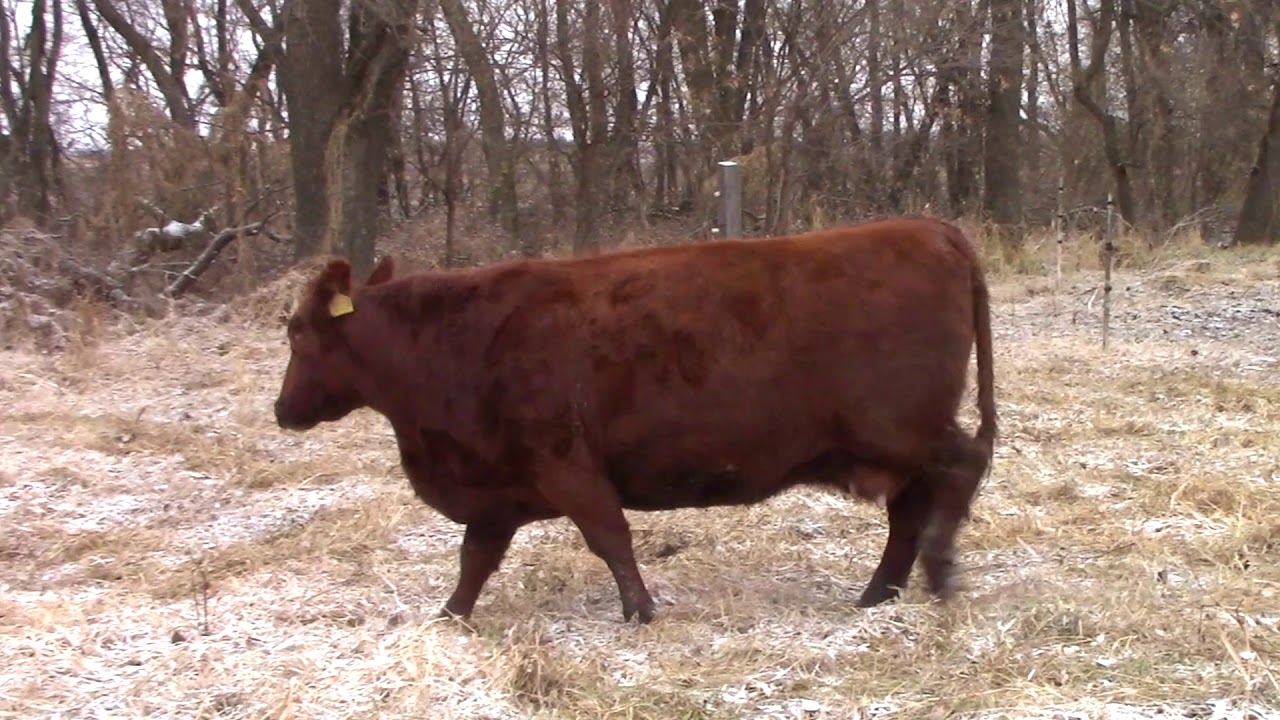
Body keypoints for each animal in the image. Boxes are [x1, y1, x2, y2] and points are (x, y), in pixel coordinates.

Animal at [273, 216, 997, 624]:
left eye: (297, 332)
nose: (282, 410)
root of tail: (929, 228)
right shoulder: (500, 486)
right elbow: (475, 558)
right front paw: (450, 616)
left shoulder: (565, 465)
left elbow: (609, 537)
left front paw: (640, 612)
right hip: (893, 447)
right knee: (911, 508)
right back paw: (882, 592)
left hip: (902, 430)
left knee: (960, 470)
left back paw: (938, 571)